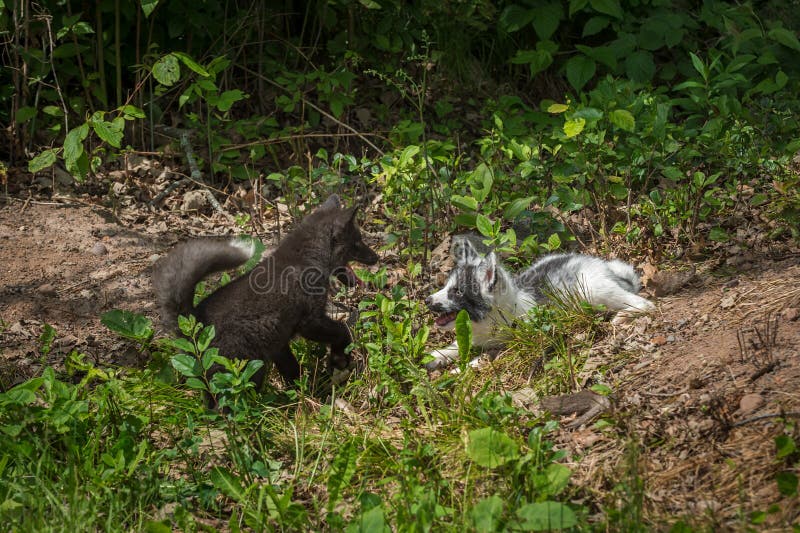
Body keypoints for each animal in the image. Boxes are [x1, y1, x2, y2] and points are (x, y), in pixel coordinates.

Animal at [152, 194, 379, 392]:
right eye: (357, 242)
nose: (376, 257)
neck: (307, 259)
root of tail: (191, 320)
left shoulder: (280, 342)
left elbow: (292, 372)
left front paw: (303, 395)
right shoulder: (310, 322)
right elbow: (343, 330)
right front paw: (339, 359)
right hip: (244, 369)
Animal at [424, 234, 655, 370]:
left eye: (457, 292)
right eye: (446, 287)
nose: (426, 300)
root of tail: (606, 269)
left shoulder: (515, 344)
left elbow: (485, 357)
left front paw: (460, 370)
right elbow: (456, 345)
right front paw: (436, 355)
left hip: (595, 291)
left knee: (645, 304)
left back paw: (621, 316)